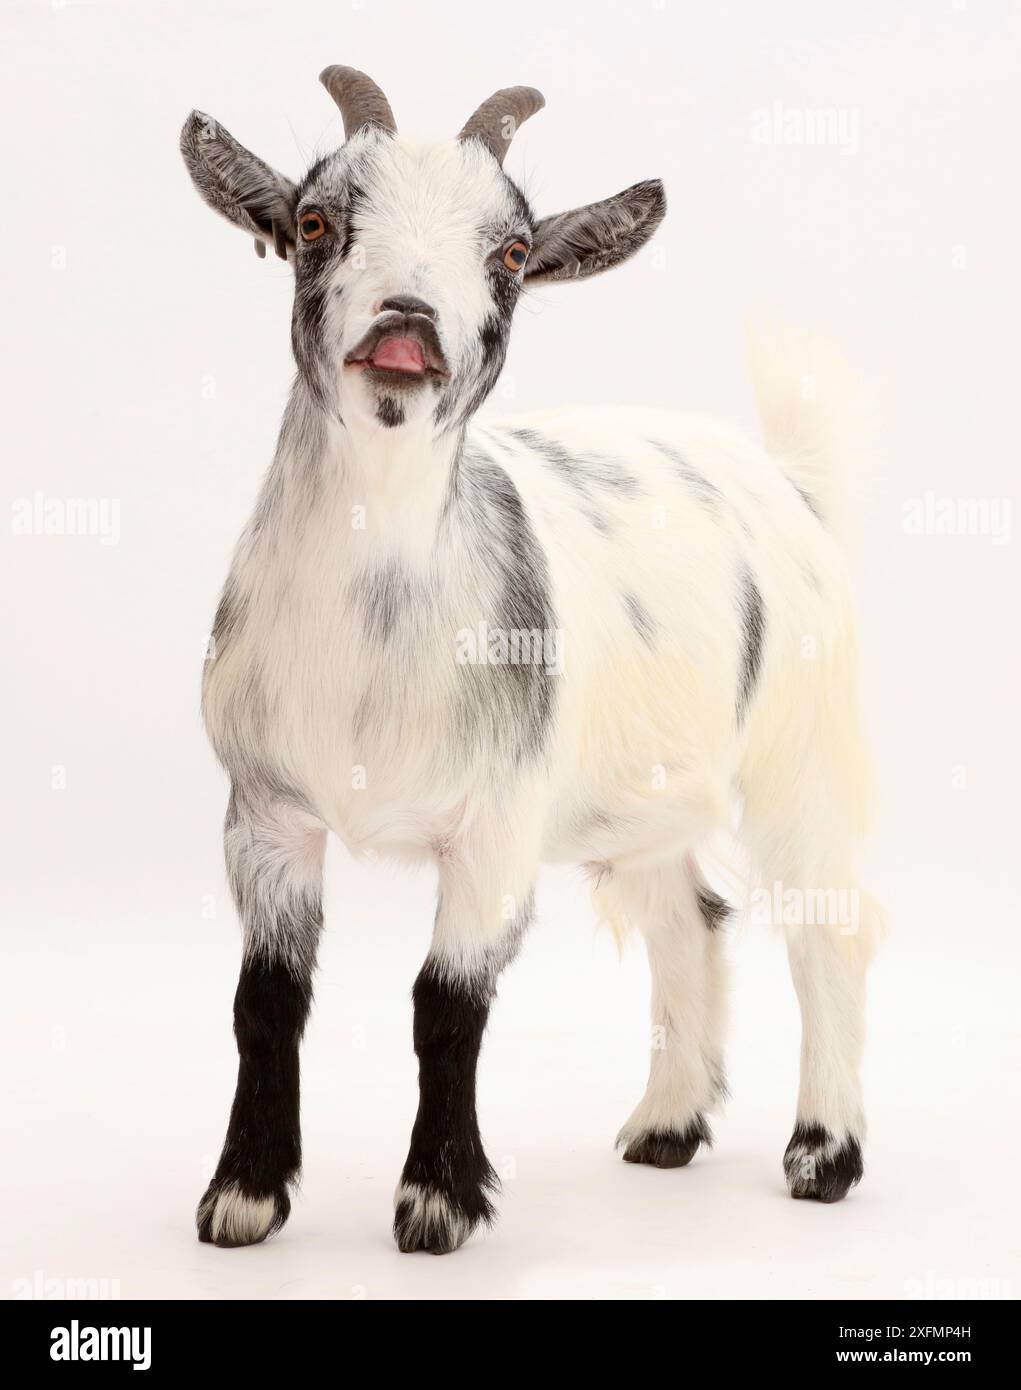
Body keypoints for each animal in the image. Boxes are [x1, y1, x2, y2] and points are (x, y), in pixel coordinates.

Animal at [180, 66, 882, 1254]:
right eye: (315, 221)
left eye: (509, 251)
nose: (407, 318)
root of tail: (787, 483)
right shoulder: (264, 810)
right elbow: (265, 1000)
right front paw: (244, 1196)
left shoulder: (495, 824)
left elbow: (447, 1003)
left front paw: (438, 1203)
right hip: (643, 790)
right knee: (687, 917)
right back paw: (666, 1125)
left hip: (803, 750)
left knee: (826, 928)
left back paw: (823, 1153)